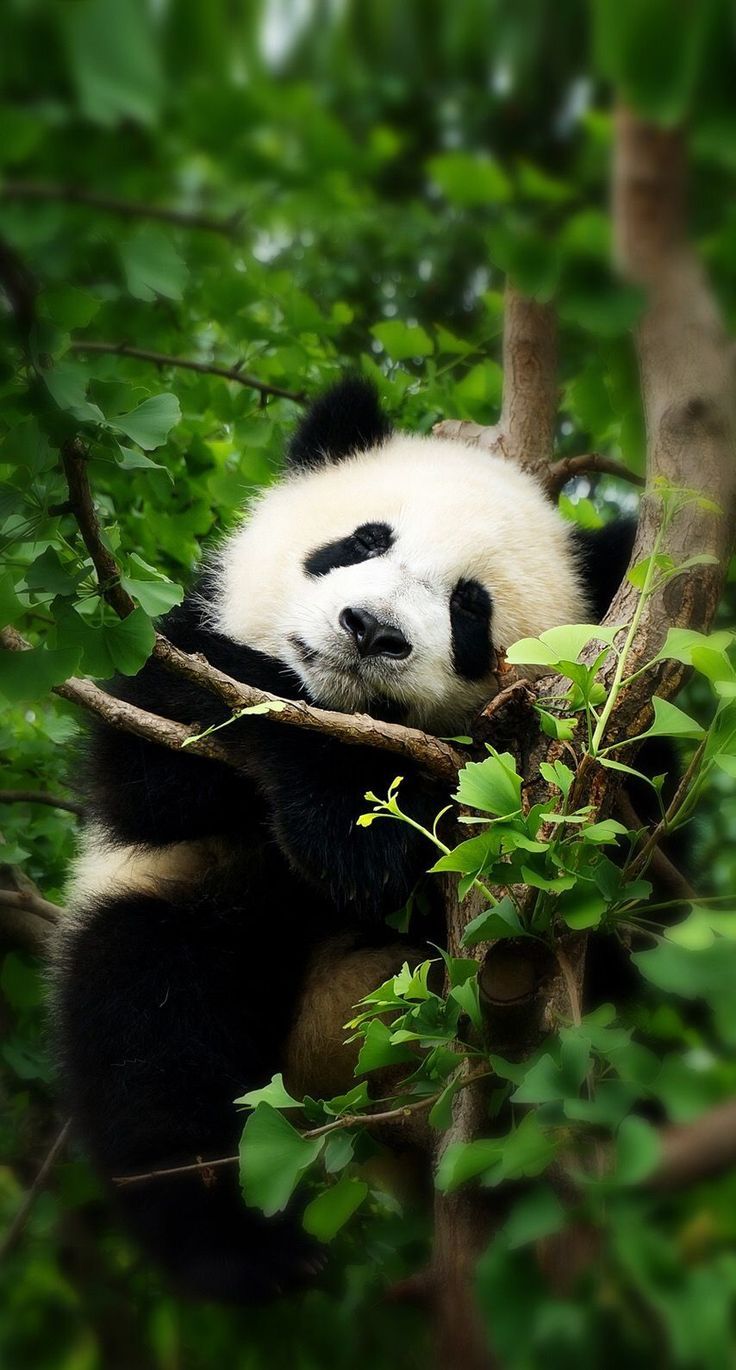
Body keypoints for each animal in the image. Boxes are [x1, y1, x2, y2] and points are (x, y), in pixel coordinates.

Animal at [51, 378, 635, 1304]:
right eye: (363, 540)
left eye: (470, 608)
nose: (368, 629)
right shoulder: (164, 666)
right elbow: (157, 768)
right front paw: (346, 817)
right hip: (188, 920)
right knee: (152, 1040)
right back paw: (245, 1249)